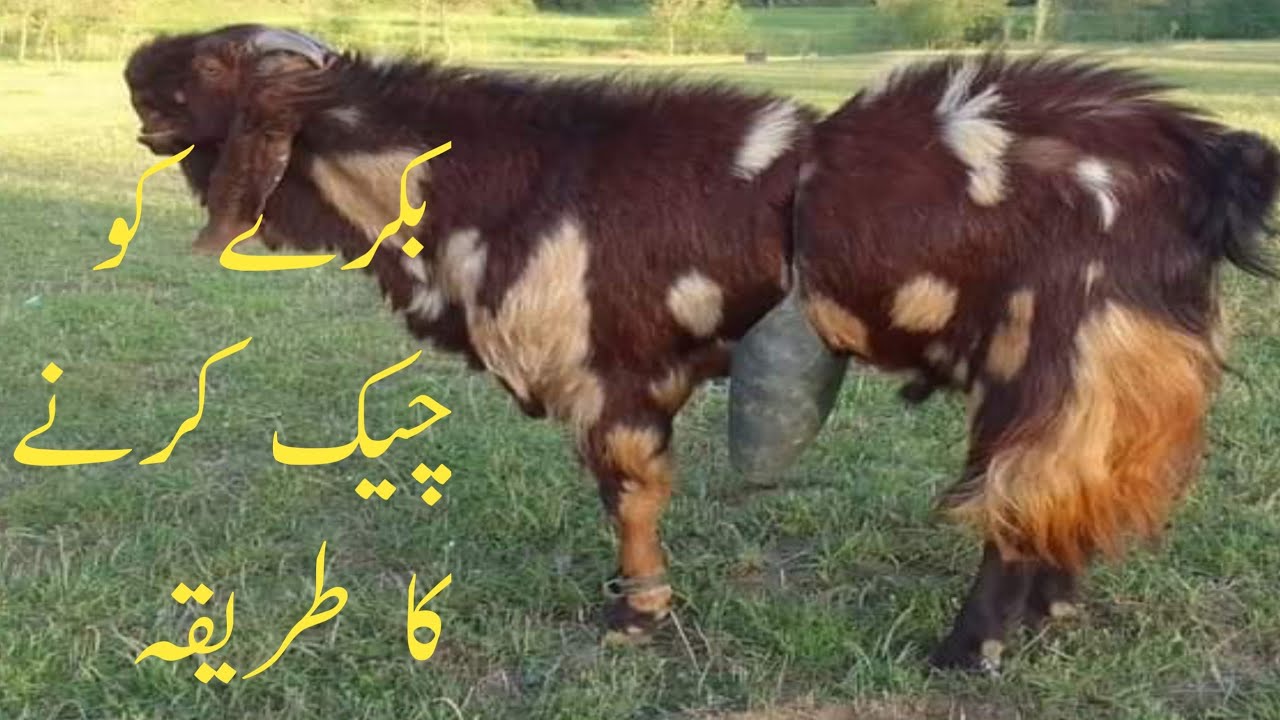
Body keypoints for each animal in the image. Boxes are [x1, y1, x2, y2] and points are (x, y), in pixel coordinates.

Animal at [123, 26, 1279, 672]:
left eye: (215, 58)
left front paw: (635, 619)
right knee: (1062, 494)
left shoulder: (611, 371)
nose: (135, 61)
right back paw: (1049, 614)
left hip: (1059, 348)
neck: (494, 175)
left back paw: (969, 650)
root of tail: (1201, 153)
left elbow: (631, 496)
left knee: (1016, 499)